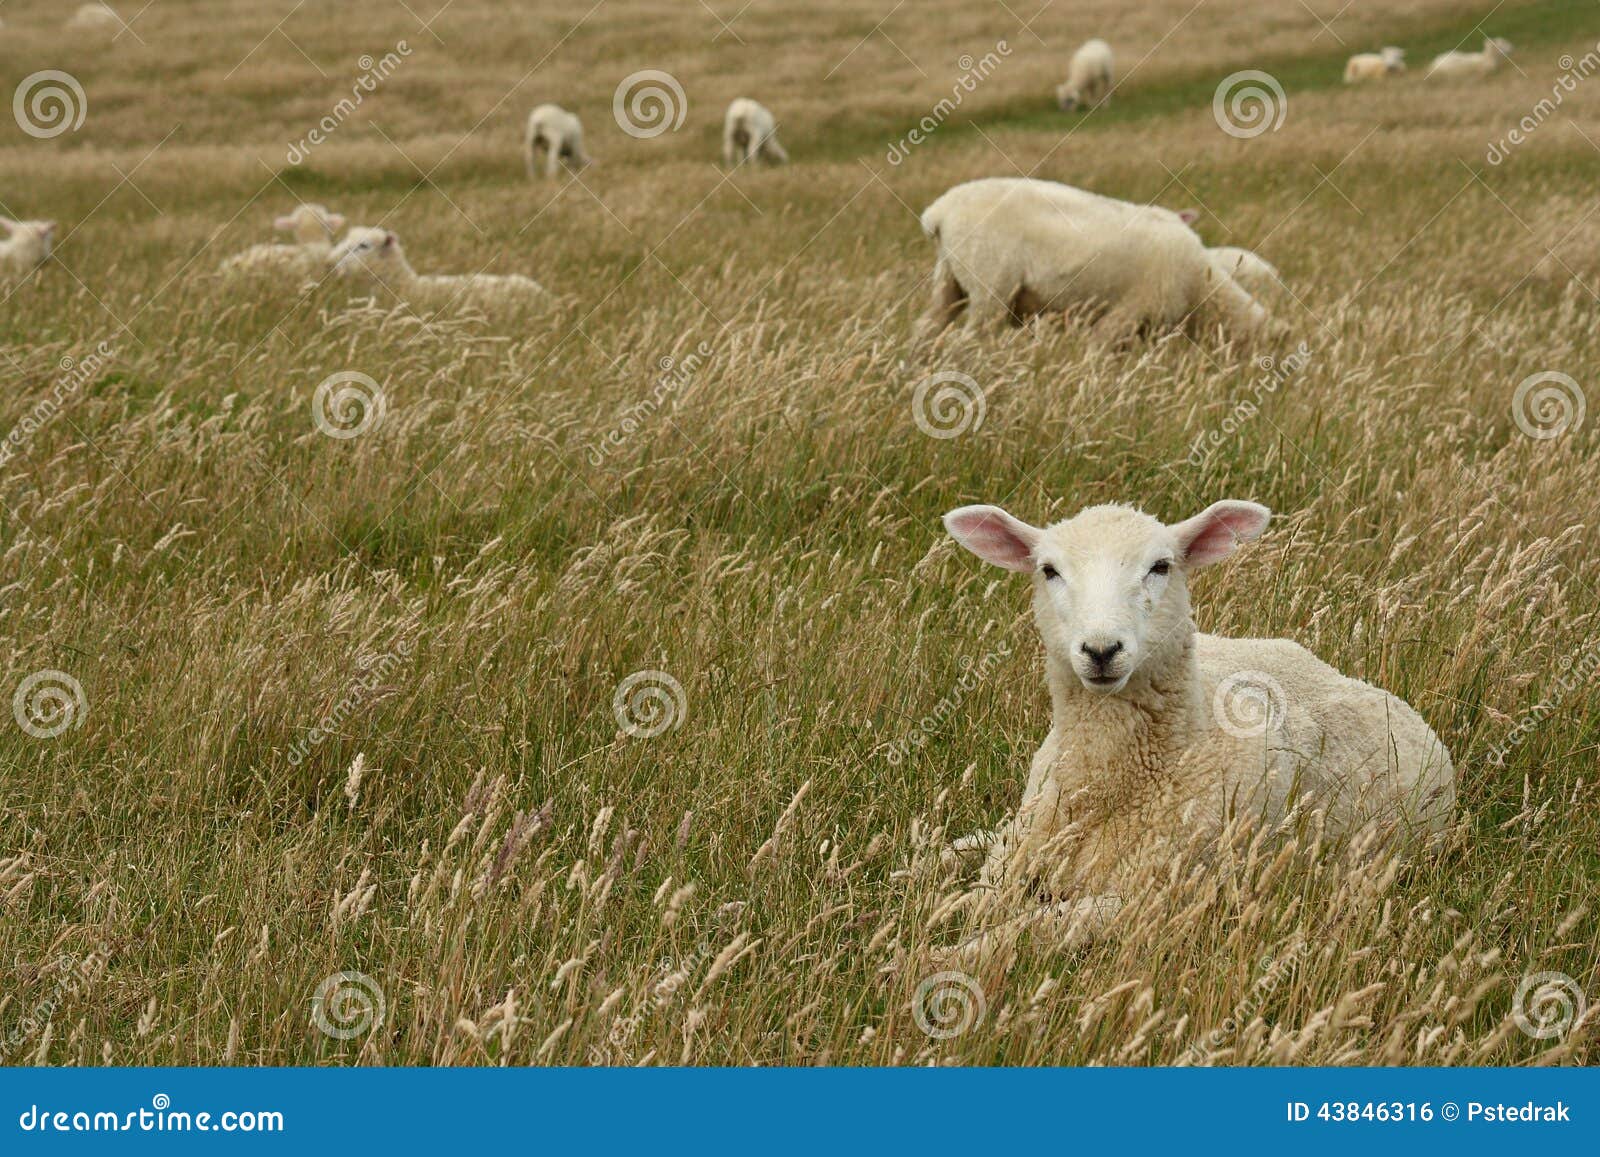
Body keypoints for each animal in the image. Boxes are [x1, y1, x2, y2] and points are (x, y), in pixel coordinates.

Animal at [914, 177, 1271, 343]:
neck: (1201, 286)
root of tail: (940, 211)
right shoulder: (1126, 314)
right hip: (989, 286)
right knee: (967, 339)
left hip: (949, 279)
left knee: (927, 326)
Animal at [938, 499, 1456, 961]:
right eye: (1049, 571)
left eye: (1160, 566)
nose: (1102, 650)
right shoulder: (1016, 857)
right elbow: (971, 897)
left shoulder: (1158, 894)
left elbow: (1029, 930)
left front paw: (940, 957)